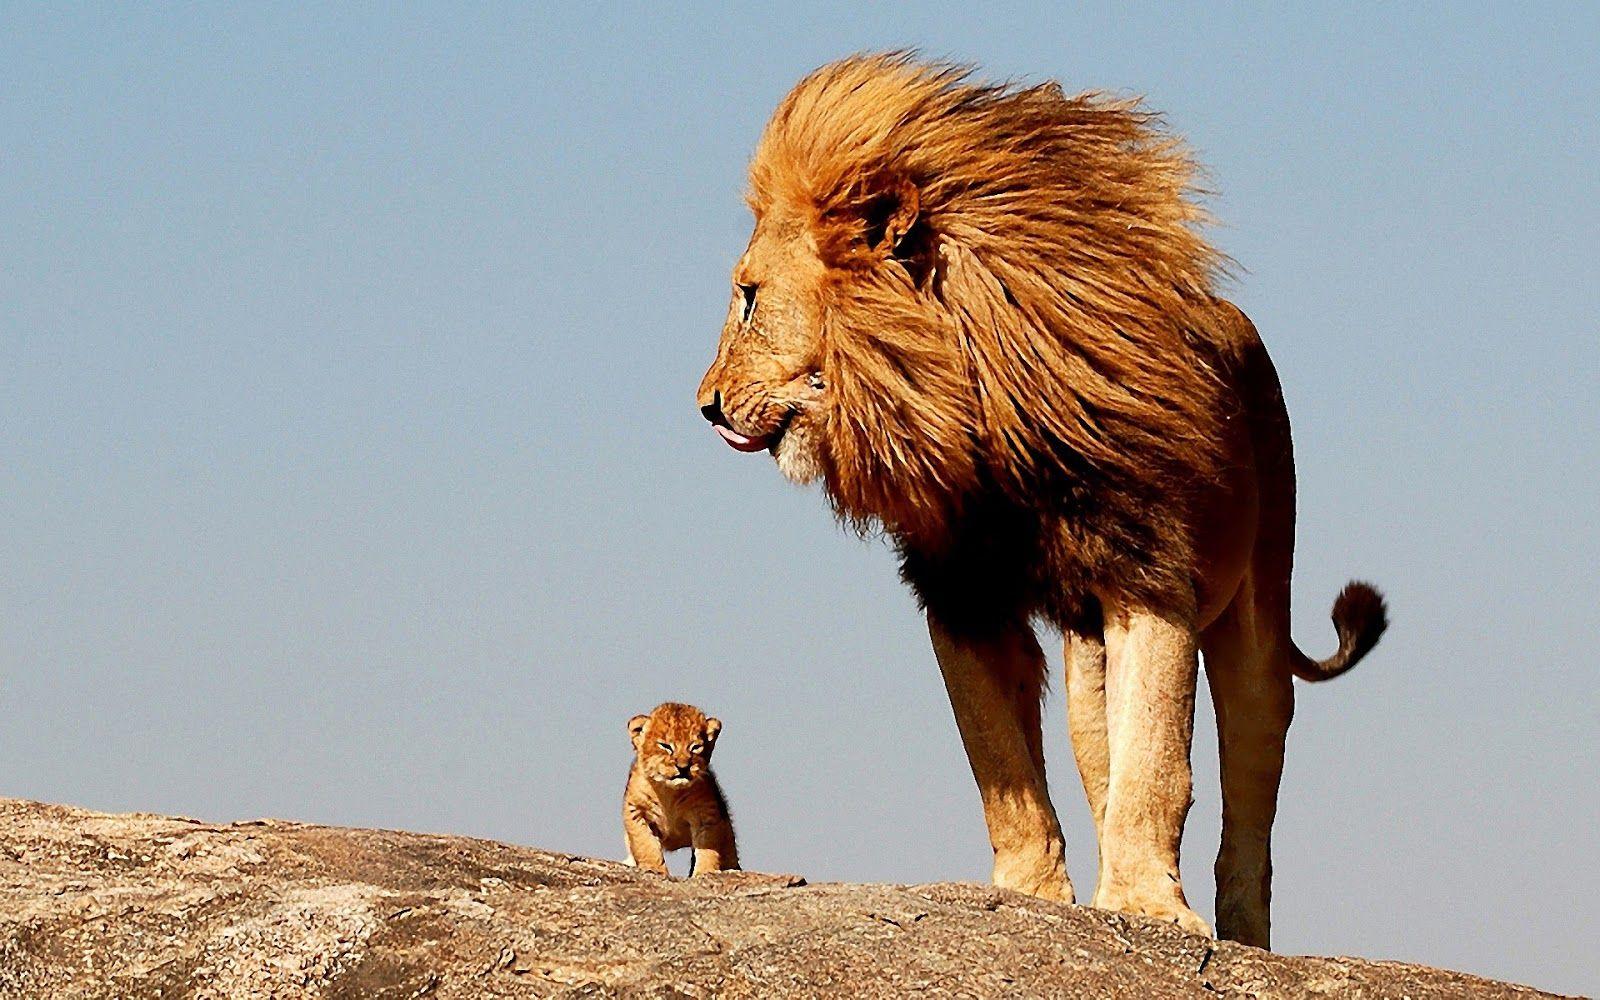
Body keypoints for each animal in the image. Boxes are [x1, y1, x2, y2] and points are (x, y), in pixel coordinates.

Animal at [623, 702, 739, 877]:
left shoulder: (705, 813)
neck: (670, 792)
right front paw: (655, 869)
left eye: (695, 747)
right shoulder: (636, 810)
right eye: (665, 746)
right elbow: (645, 844)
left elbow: (707, 848)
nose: (683, 767)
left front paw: (704, 872)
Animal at [695, 54, 1386, 948]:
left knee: (1250, 784)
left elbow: (1158, 762)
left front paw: (1148, 908)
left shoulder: (1149, 575)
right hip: (1087, 661)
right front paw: (1034, 896)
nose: (705, 406)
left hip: (1259, 611)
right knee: (1099, 756)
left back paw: (1242, 934)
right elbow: (1002, 767)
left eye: (748, 296)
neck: (976, 414)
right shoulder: (960, 594)